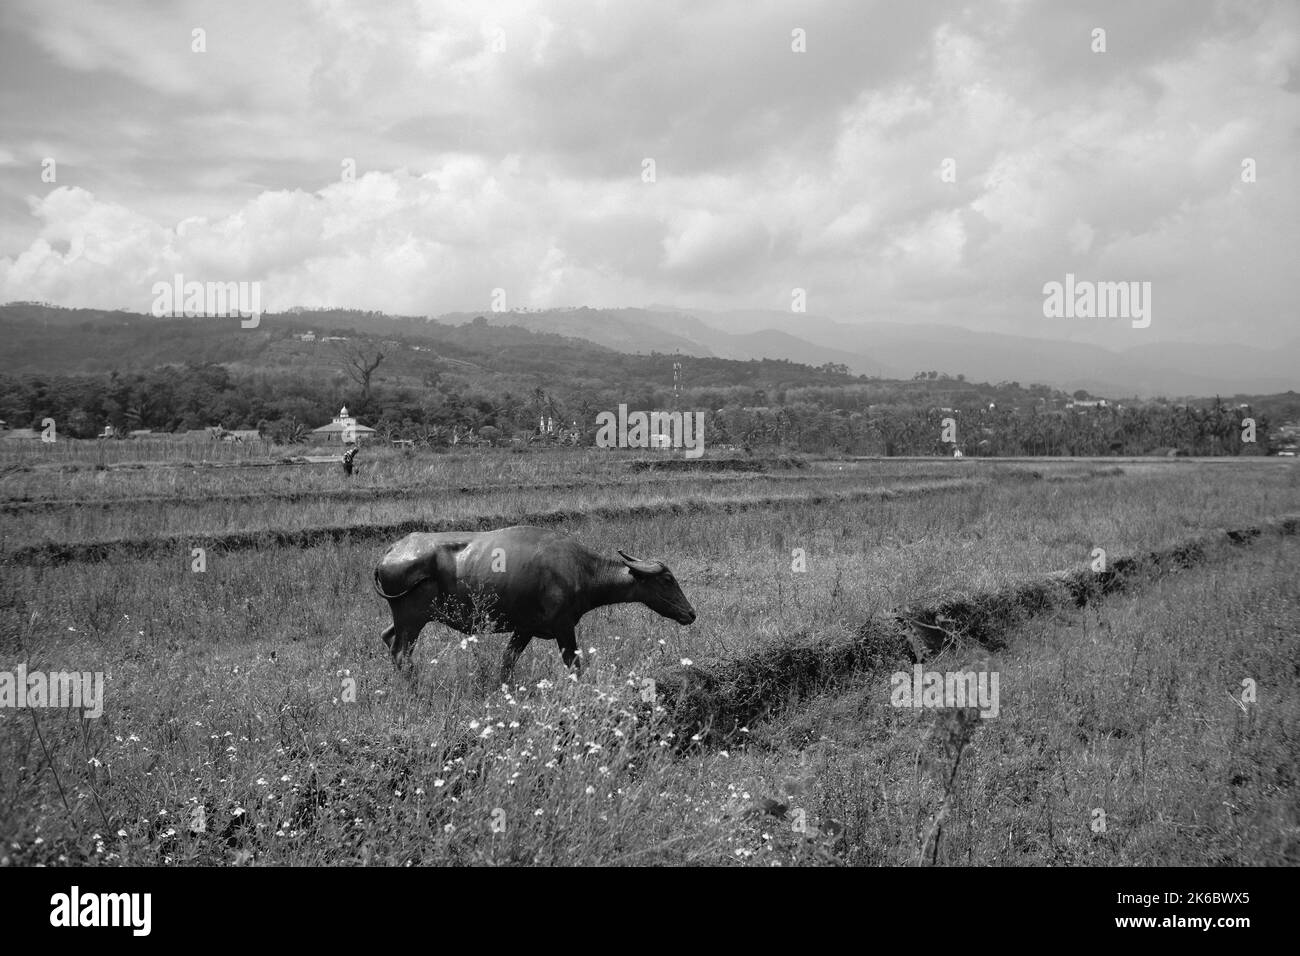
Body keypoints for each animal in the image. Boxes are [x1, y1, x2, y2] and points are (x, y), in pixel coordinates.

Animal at [373, 525, 696, 684]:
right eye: (668, 579)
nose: (691, 613)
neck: (579, 570)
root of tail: (392, 551)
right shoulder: (563, 627)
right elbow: (574, 665)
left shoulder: (524, 629)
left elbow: (507, 662)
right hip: (412, 619)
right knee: (401, 652)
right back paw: (416, 687)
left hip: (404, 618)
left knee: (387, 638)